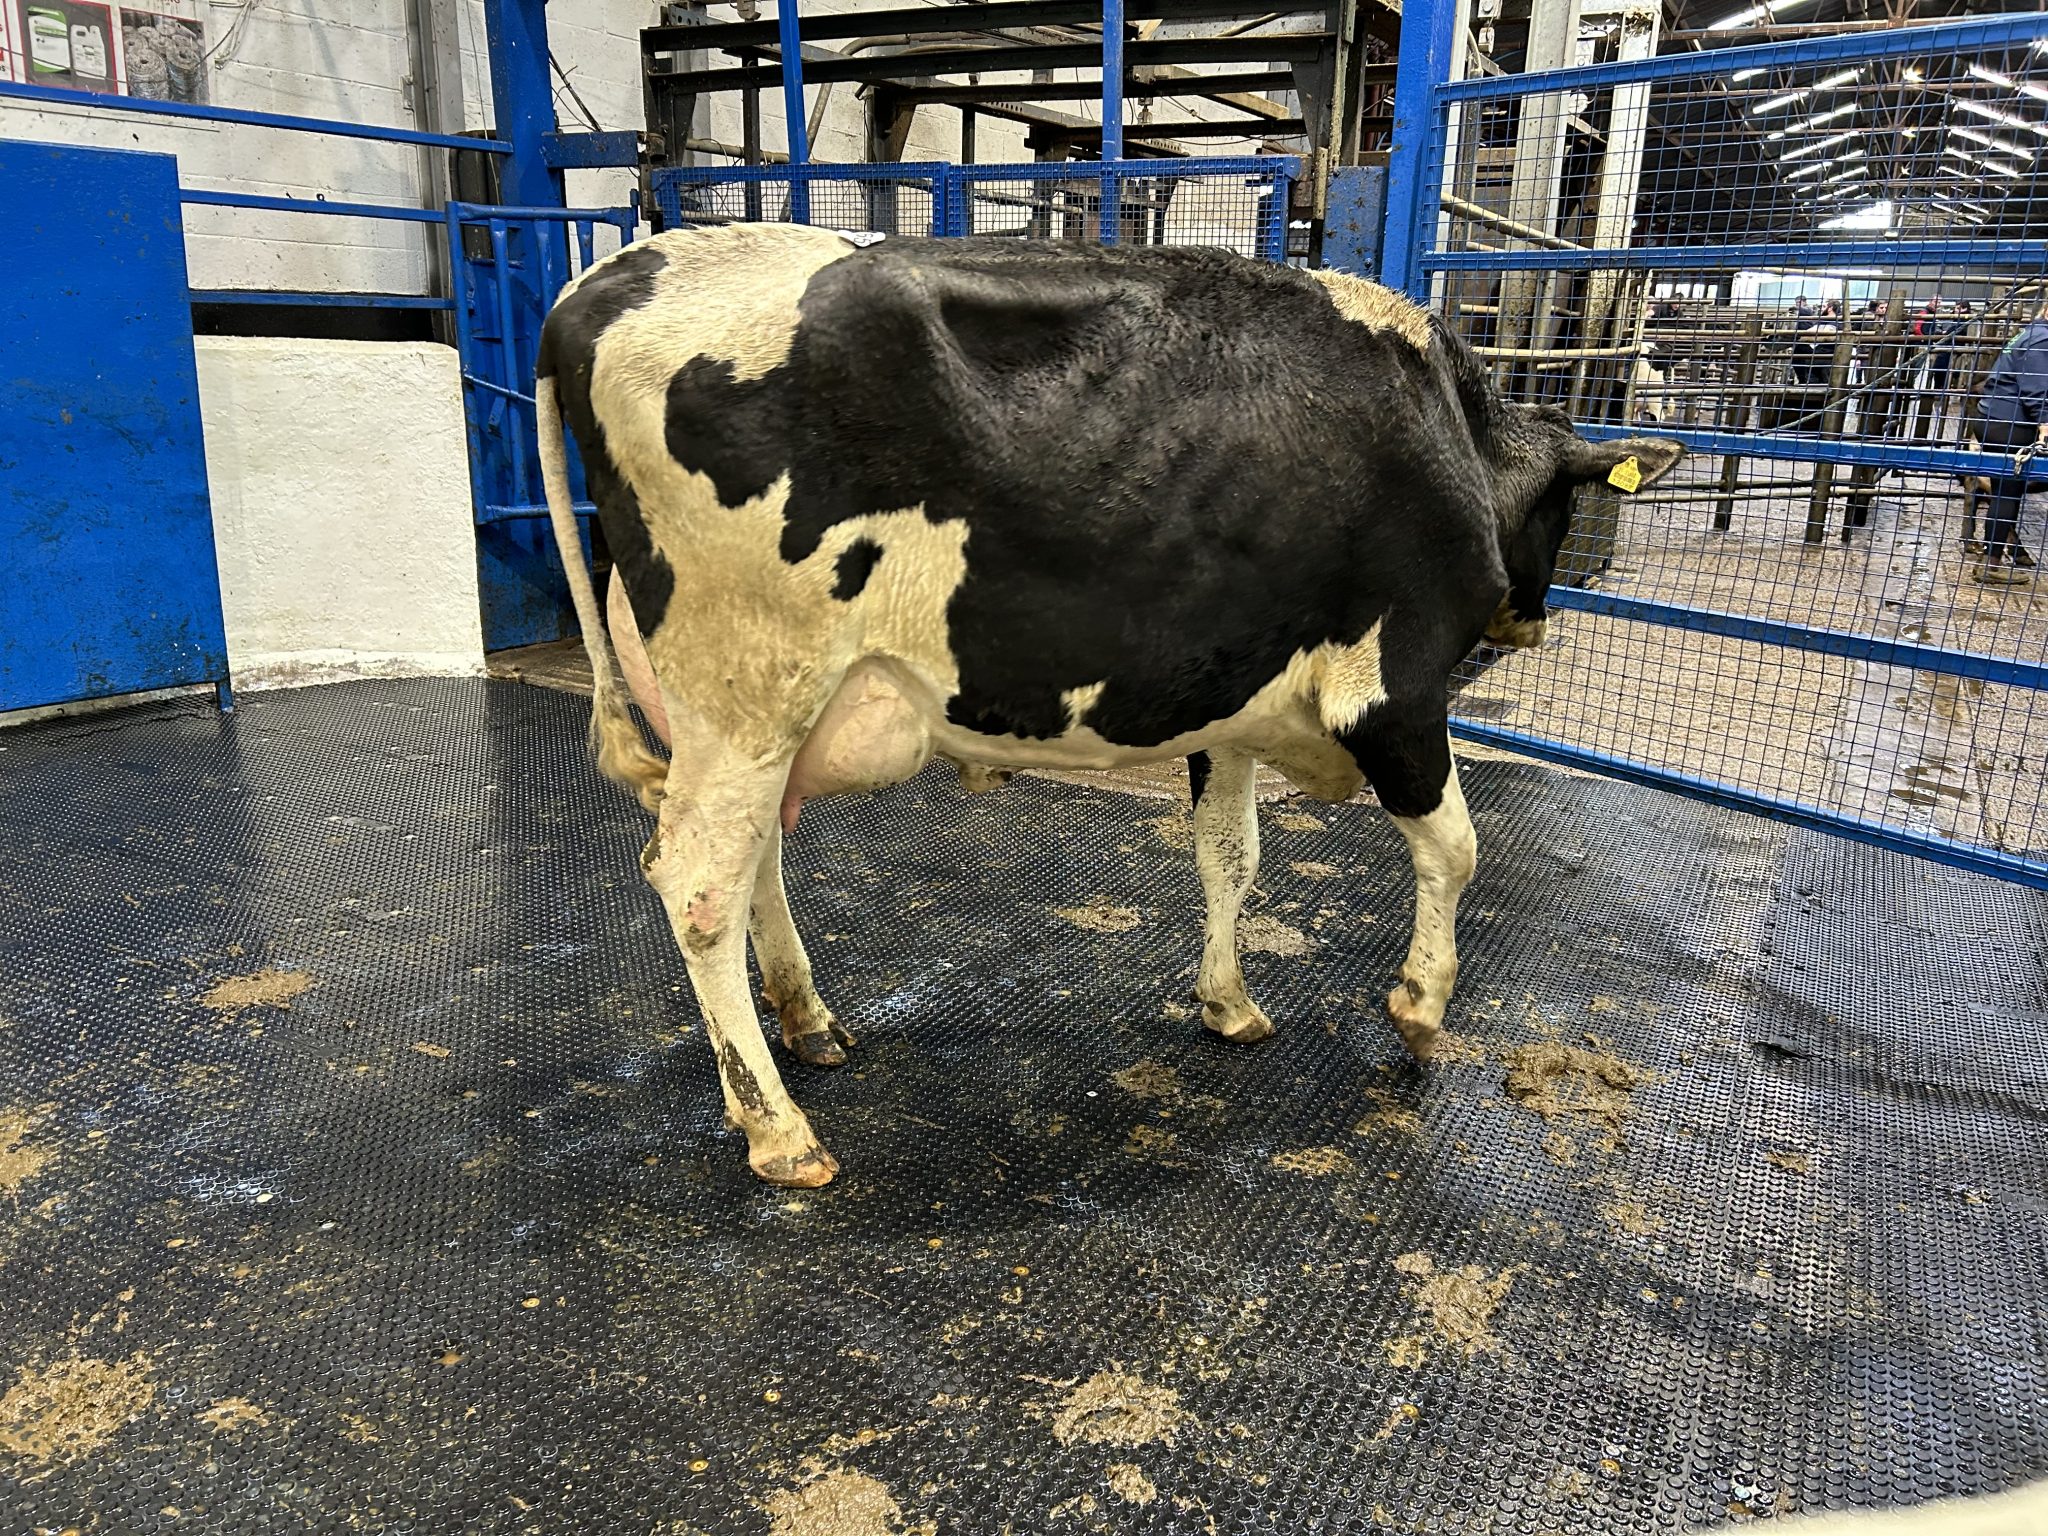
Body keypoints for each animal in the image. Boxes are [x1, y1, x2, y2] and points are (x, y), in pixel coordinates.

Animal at [534, 223, 1682, 1186]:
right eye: (1566, 510)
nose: (1536, 618)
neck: (1450, 426)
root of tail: (604, 281)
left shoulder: (1229, 705)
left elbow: (1229, 856)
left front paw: (1228, 1003)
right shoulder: (1392, 691)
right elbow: (1453, 848)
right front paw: (1419, 1009)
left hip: (758, 715)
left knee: (754, 857)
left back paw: (808, 1023)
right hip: (749, 689)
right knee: (697, 886)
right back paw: (778, 1132)